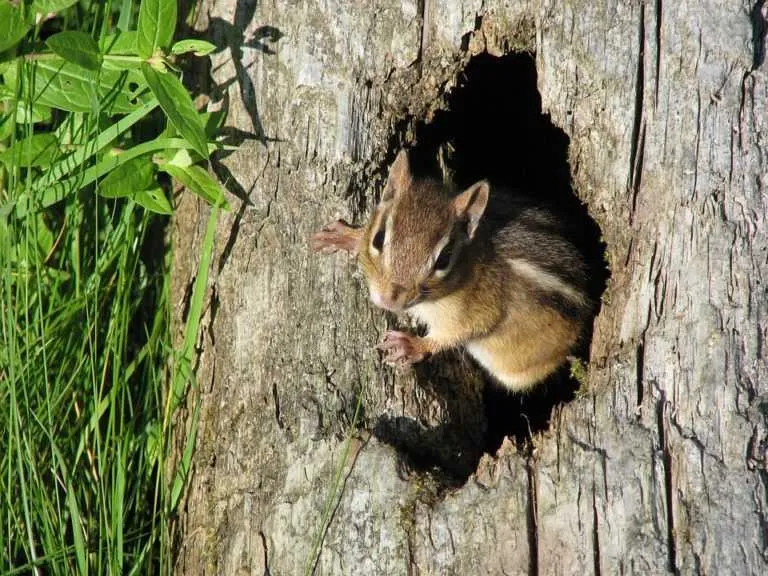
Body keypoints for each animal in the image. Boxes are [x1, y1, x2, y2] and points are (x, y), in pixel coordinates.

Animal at [310, 149, 593, 392]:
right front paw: (347, 236)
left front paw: (412, 345)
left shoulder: (479, 310)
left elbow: (455, 334)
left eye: (444, 259)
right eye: (378, 238)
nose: (390, 300)